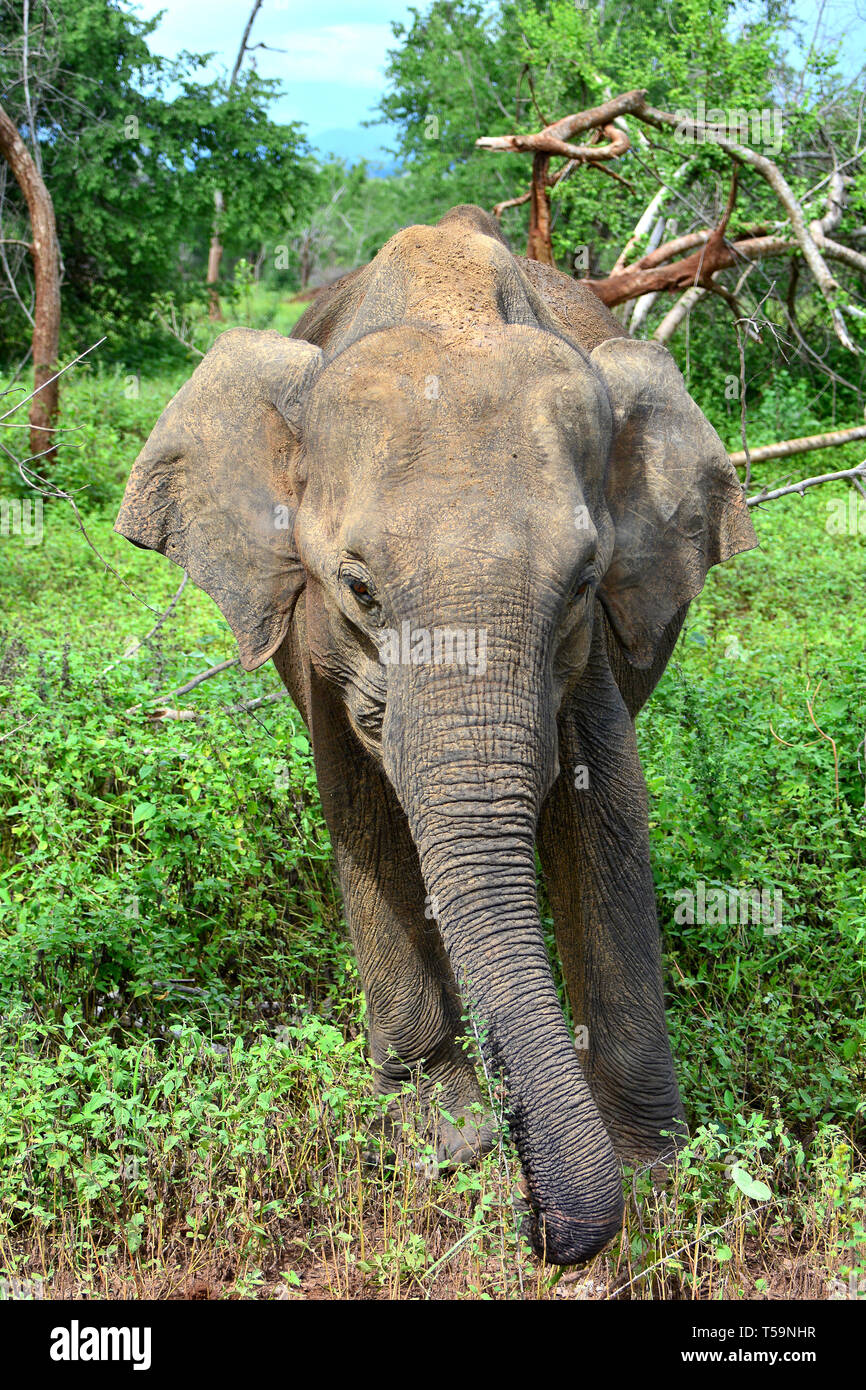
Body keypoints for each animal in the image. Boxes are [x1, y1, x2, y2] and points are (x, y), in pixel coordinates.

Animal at [115, 204, 758, 1265]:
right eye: (359, 588)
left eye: (583, 583)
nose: (532, 1215)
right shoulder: (313, 636)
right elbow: (363, 814)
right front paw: (447, 1139)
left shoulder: (589, 654)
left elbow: (609, 816)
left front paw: (657, 1172)